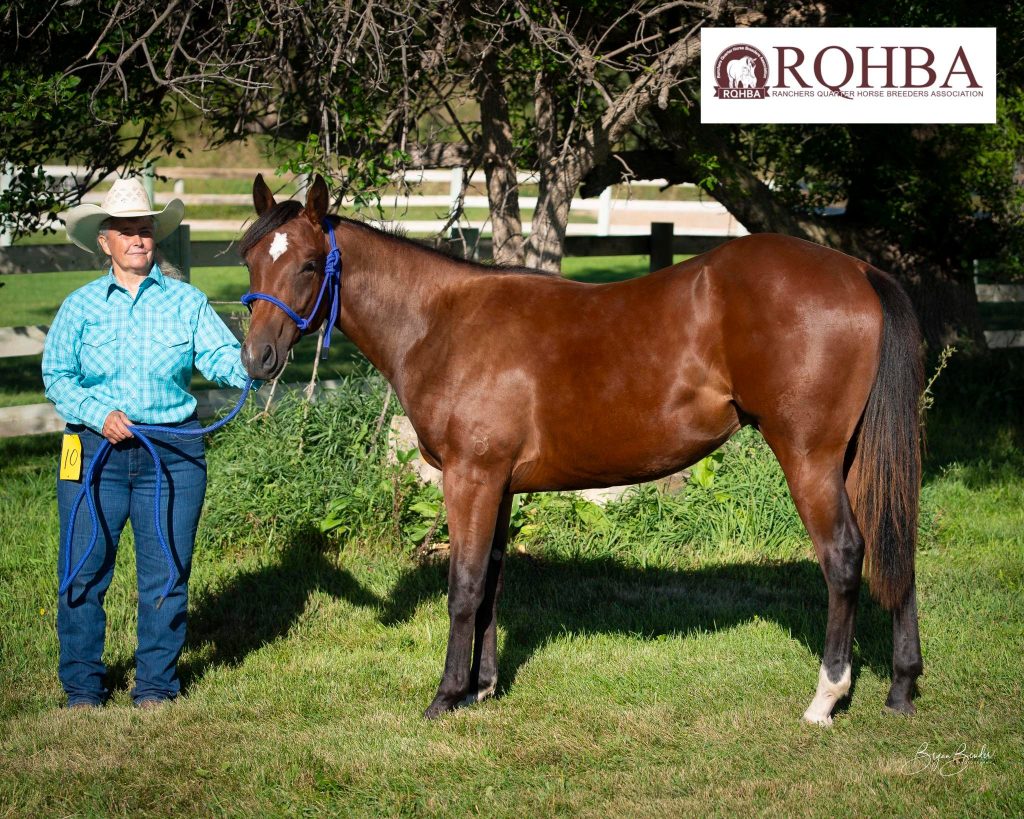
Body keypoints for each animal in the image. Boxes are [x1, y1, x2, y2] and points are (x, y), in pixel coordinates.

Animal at [239, 174, 924, 725]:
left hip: (809, 457)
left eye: (308, 264)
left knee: (844, 557)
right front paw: (483, 688)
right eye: (249, 261)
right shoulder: (501, 485)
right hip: (853, 461)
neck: (442, 322)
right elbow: (492, 580)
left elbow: (464, 586)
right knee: (894, 548)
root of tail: (856, 271)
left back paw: (826, 698)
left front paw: (446, 696)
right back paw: (901, 687)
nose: (256, 359)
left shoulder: (471, 477)